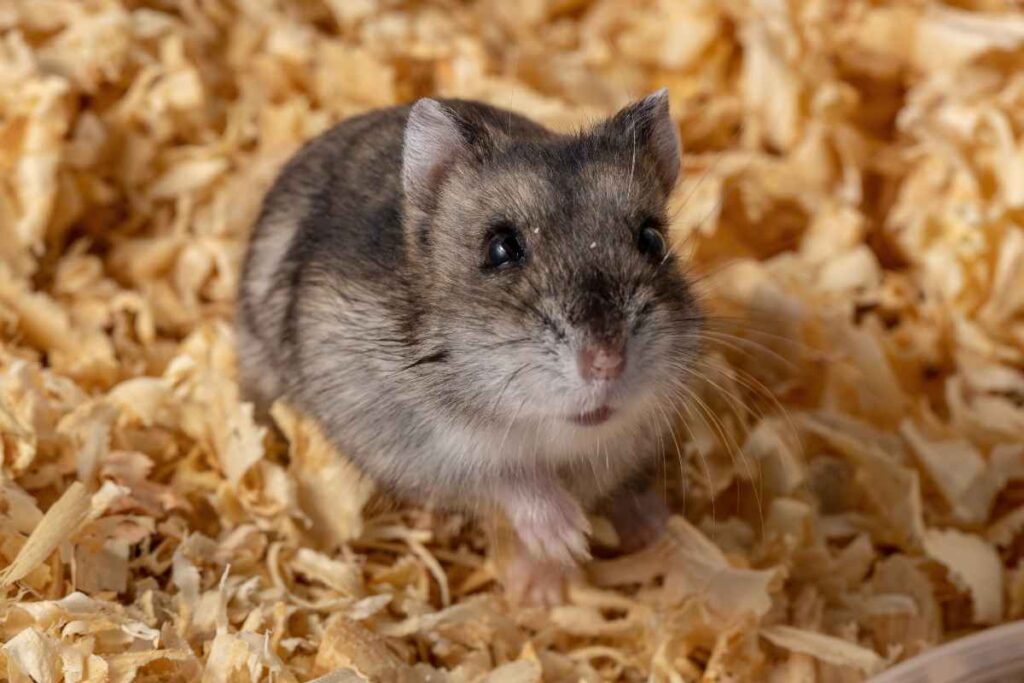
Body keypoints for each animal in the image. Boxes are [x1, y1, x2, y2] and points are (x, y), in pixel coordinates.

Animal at [236, 90, 703, 604]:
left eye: (651, 239)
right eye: (500, 248)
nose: (606, 362)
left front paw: (657, 527)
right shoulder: (421, 446)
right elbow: (507, 479)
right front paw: (561, 554)